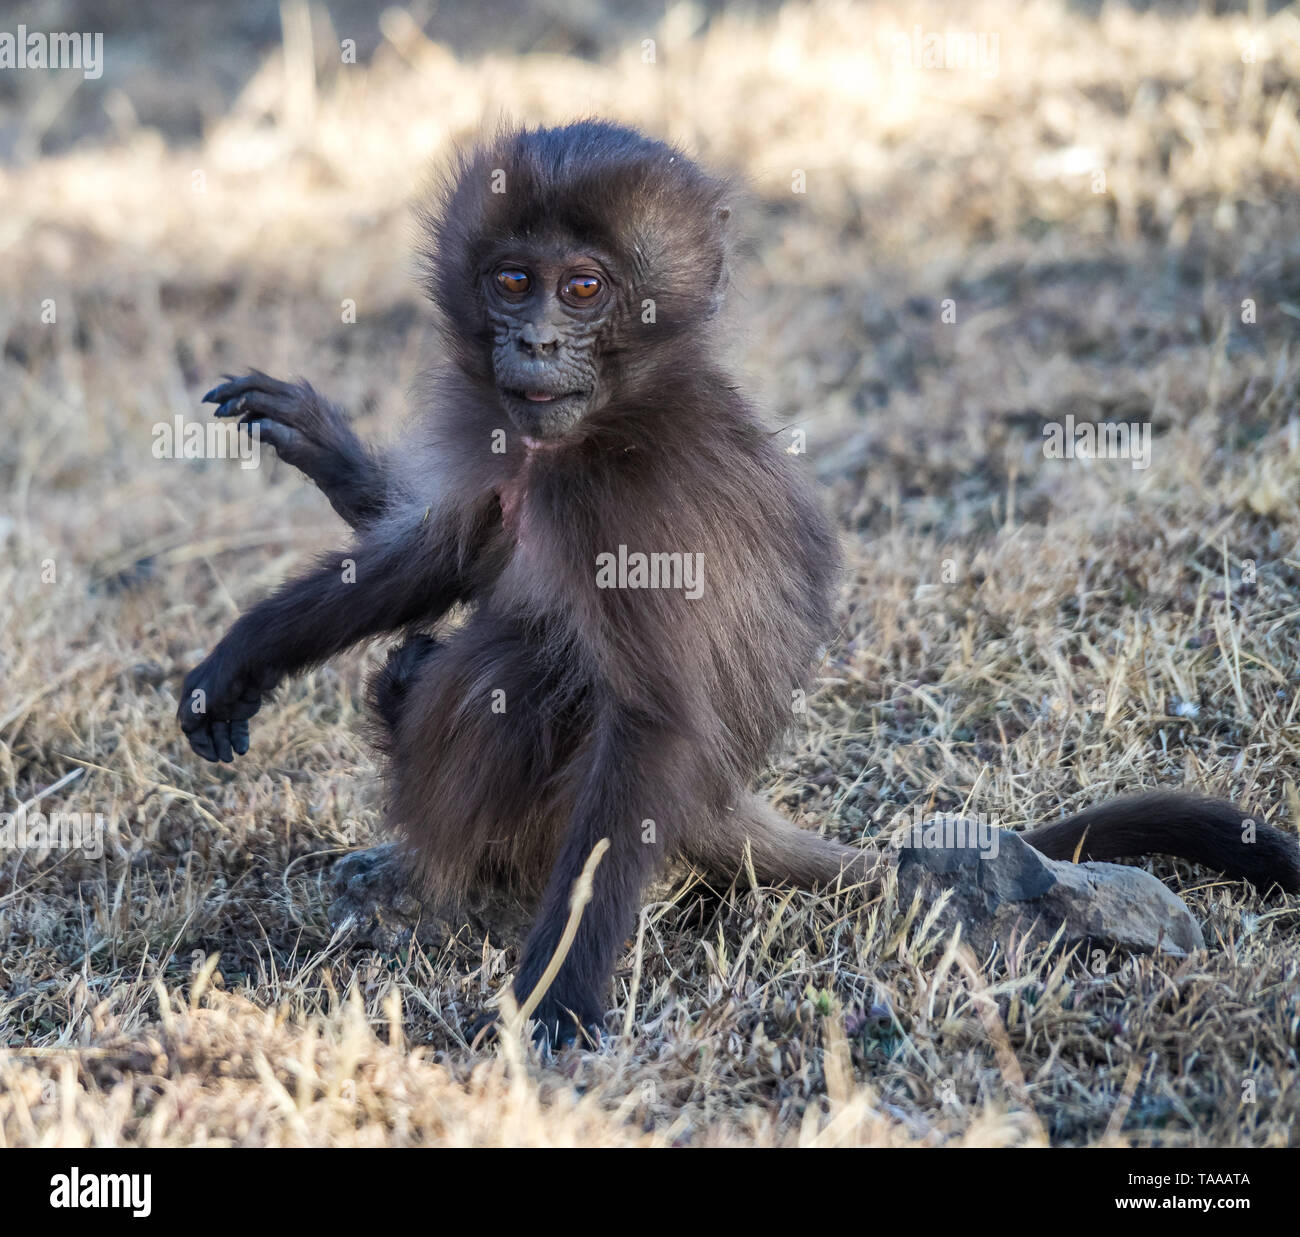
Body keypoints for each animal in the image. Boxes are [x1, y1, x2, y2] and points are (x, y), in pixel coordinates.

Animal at [178, 121, 1300, 1047]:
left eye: (581, 289)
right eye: (512, 280)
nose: (533, 341)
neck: (610, 415)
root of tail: (721, 804)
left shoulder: (623, 504)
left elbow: (653, 717)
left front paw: (558, 998)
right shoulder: (508, 438)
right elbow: (444, 552)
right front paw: (244, 657)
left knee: (519, 670)